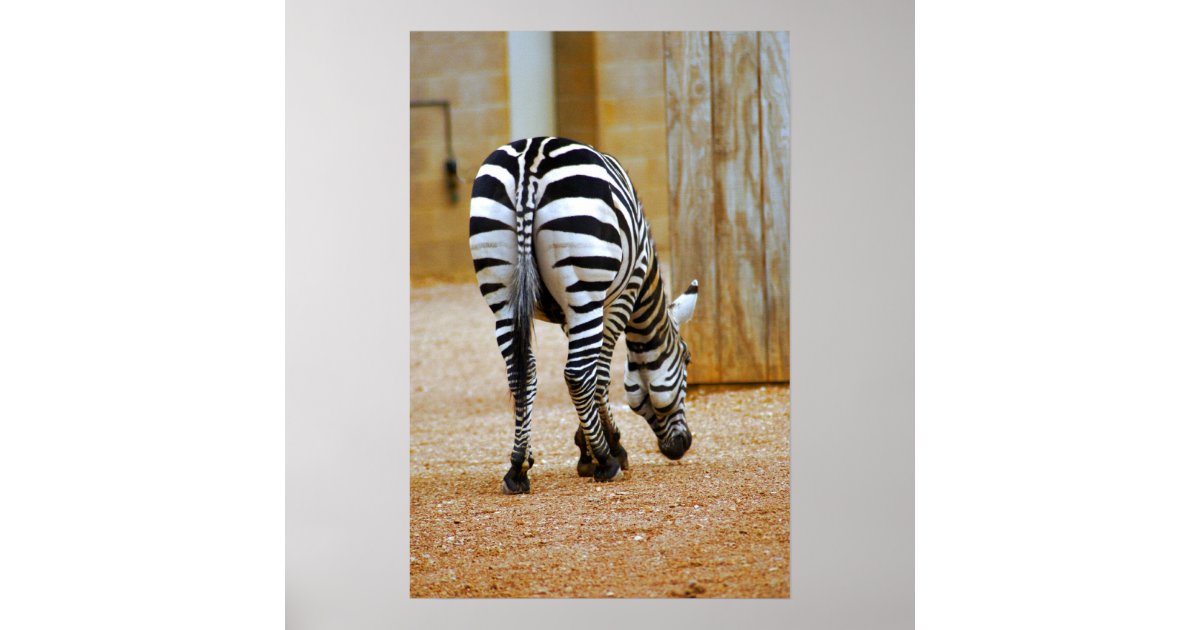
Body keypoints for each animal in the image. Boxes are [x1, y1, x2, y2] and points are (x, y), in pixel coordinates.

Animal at [469, 136, 699, 495]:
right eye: (687, 359)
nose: (682, 446)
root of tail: (530, 158)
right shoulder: (623, 294)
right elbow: (599, 377)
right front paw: (608, 449)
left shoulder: (568, 316)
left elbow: (588, 375)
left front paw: (583, 449)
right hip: (584, 290)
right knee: (576, 374)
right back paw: (607, 462)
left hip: (502, 295)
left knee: (523, 374)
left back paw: (518, 467)